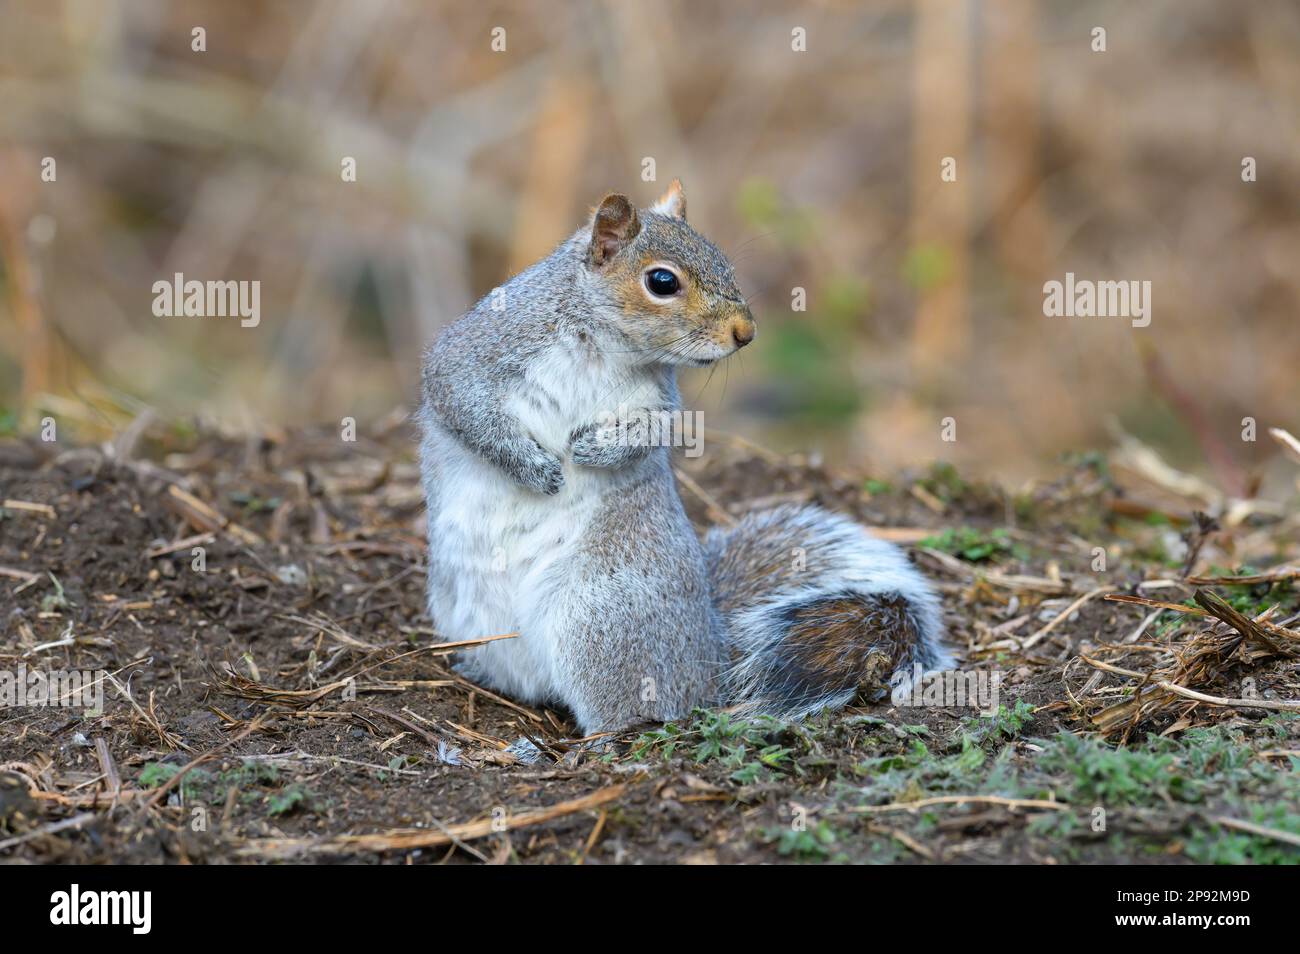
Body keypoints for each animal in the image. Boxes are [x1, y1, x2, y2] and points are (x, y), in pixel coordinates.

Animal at [419, 180, 950, 735]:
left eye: (725, 262)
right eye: (662, 281)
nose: (746, 333)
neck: (605, 343)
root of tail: (713, 657)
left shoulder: (658, 401)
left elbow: (653, 434)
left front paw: (596, 449)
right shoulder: (480, 349)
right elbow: (461, 401)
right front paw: (533, 467)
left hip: (602, 617)